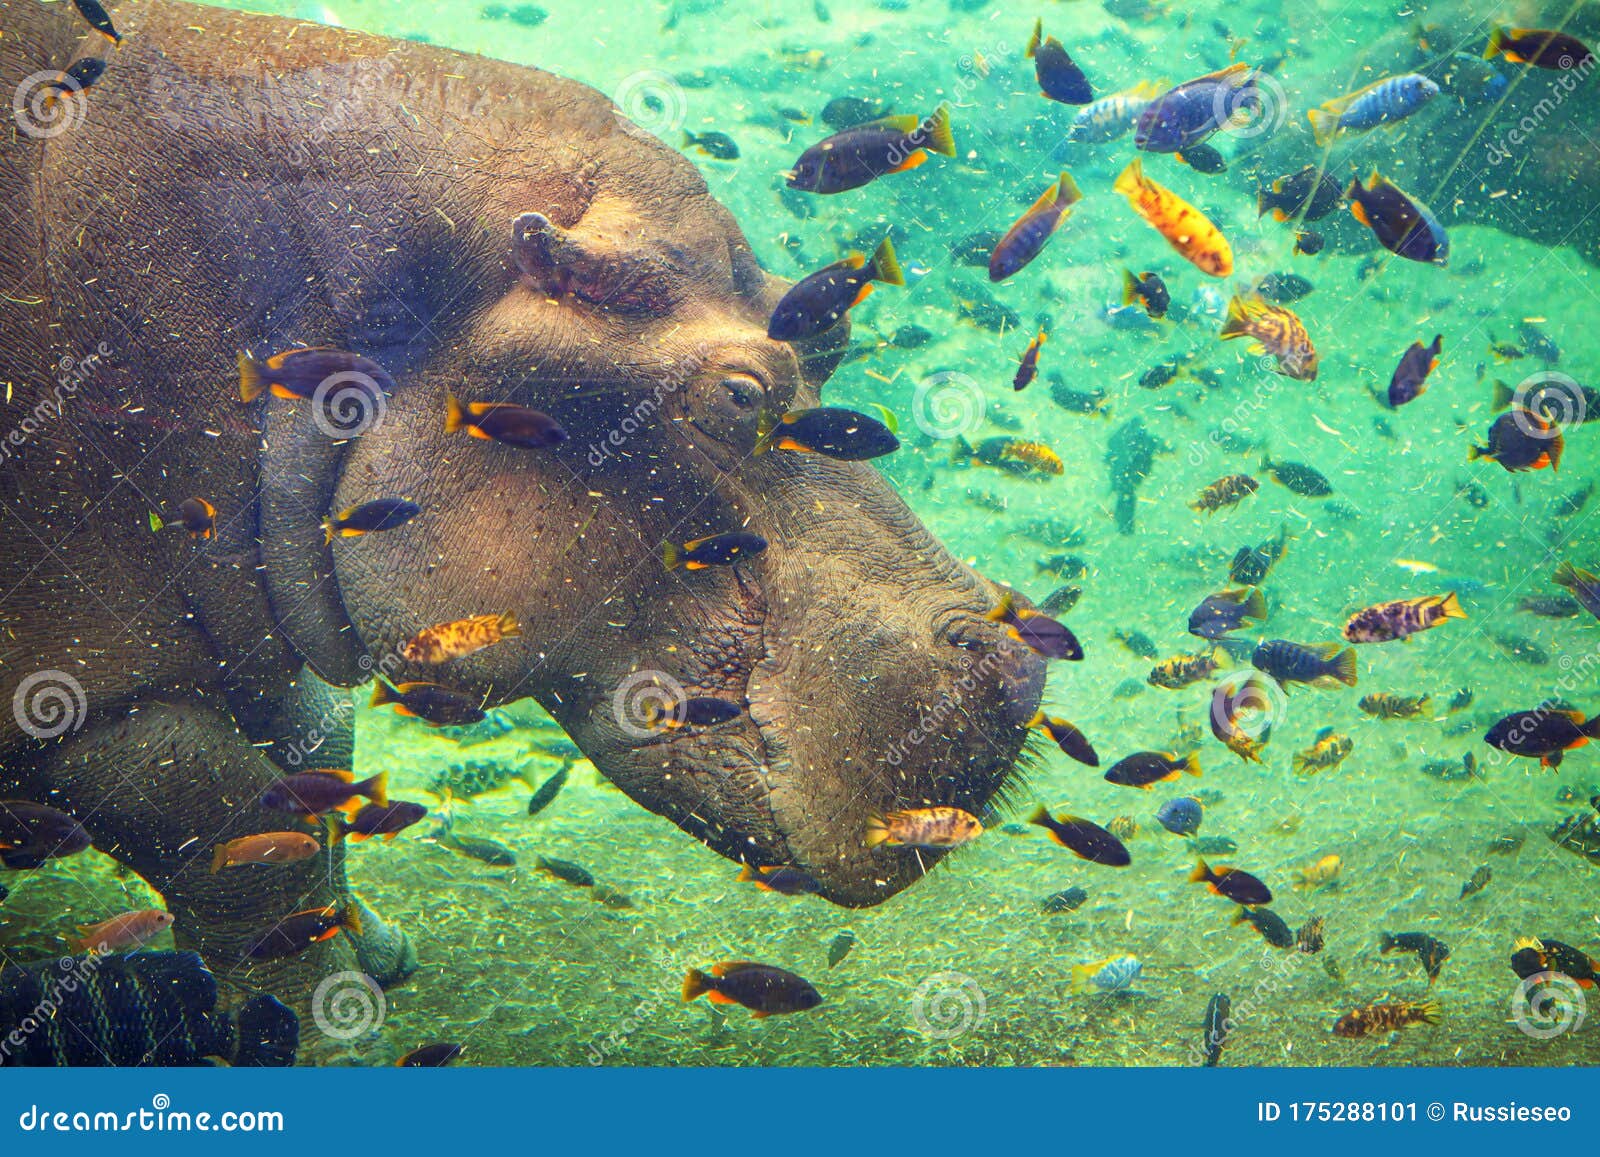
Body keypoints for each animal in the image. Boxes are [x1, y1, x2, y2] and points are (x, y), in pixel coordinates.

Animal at [0, 0, 1045, 1016]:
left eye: (832, 331)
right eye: (739, 396)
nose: (1022, 660)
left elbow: (318, 754)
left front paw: (379, 952)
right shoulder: (86, 694)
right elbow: (243, 853)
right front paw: (318, 1025)